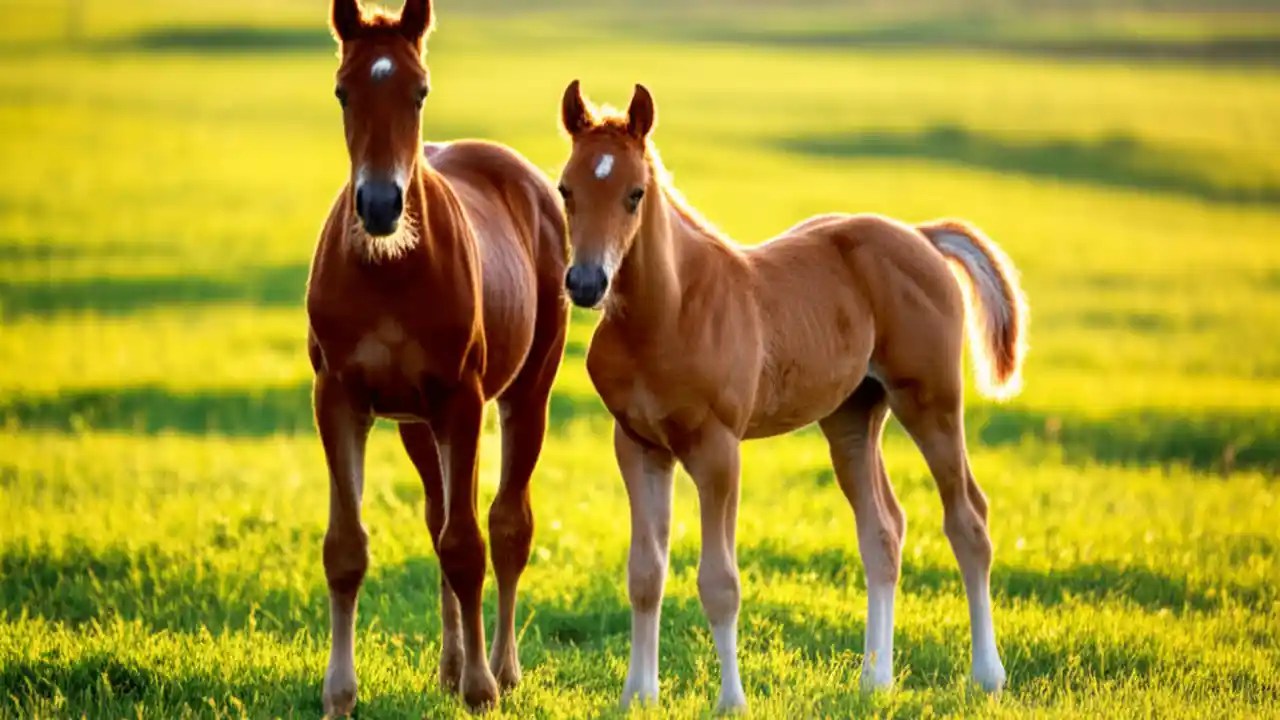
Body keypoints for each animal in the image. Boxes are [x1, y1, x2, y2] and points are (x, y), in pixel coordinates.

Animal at [306, 0, 568, 712]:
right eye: (342, 91)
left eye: (419, 91)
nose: (379, 205)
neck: (391, 272)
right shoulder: (338, 397)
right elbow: (348, 547)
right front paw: (339, 694)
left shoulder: (462, 398)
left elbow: (469, 544)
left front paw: (481, 689)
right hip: (419, 425)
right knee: (440, 514)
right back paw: (451, 665)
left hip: (522, 393)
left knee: (505, 525)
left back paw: (500, 667)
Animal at [556, 80, 1028, 712]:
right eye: (566, 189)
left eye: (635, 194)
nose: (586, 284)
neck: (669, 313)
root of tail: (921, 237)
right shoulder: (637, 446)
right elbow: (645, 575)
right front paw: (638, 696)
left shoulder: (717, 450)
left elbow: (720, 583)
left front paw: (732, 702)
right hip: (852, 417)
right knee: (882, 531)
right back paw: (875, 679)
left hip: (930, 402)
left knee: (968, 521)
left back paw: (987, 675)